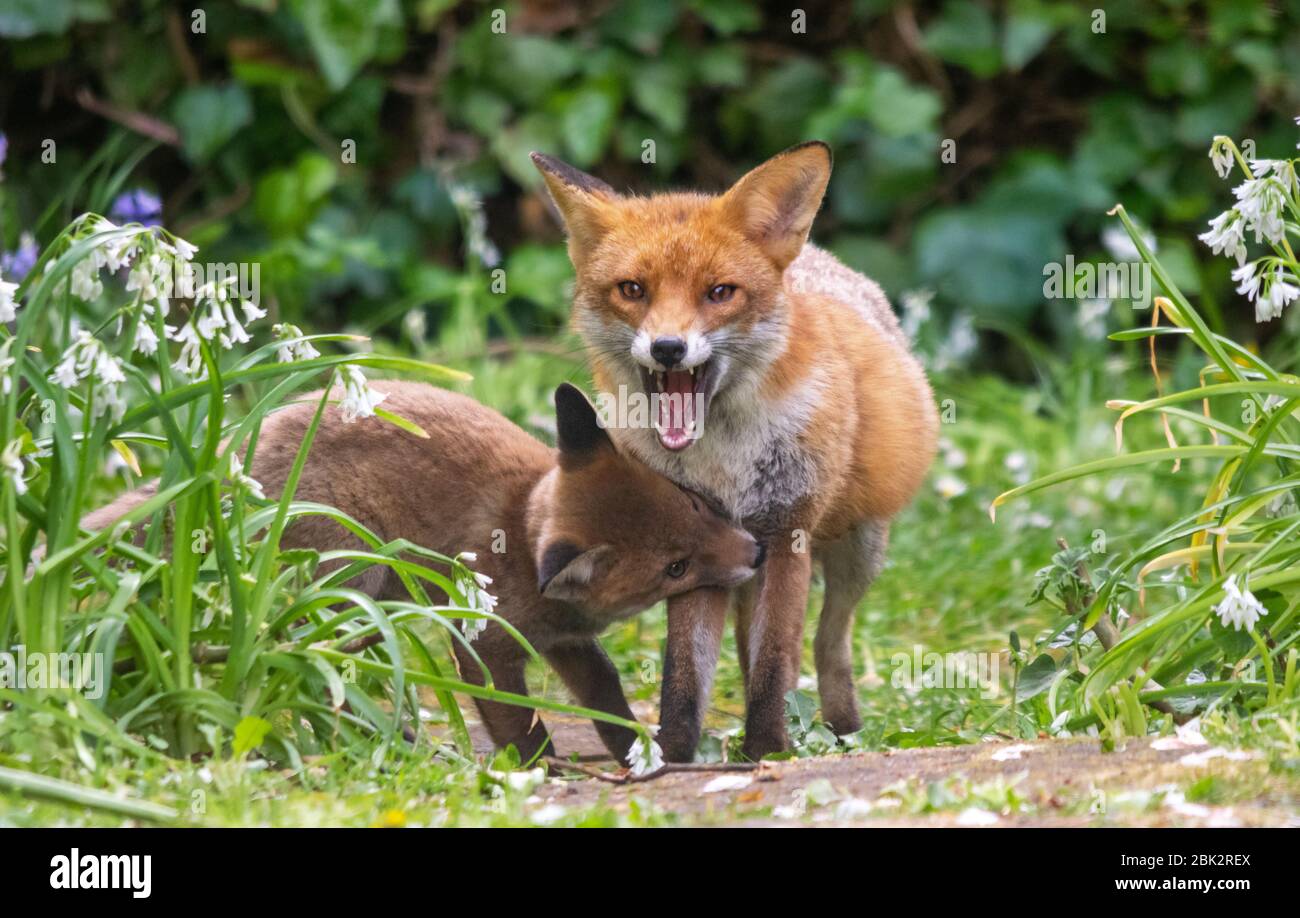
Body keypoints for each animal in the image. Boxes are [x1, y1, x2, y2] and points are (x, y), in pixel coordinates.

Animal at [81, 381, 763, 763]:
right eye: (674, 567)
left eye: (694, 504)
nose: (756, 553)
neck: (522, 529)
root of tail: (235, 456)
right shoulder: (484, 642)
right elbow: (512, 715)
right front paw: (539, 765)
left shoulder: (568, 641)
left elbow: (606, 696)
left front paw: (638, 750)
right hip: (353, 594)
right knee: (320, 671)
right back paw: (396, 744)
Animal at [531, 141, 939, 761]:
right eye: (632, 290)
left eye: (719, 293)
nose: (668, 348)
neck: (723, 461)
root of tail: (824, 259)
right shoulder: (700, 546)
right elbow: (684, 672)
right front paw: (675, 753)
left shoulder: (787, 533)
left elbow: (775, 662)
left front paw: (769, 749)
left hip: (860, 551)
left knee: (828, 640)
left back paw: (840, 727)